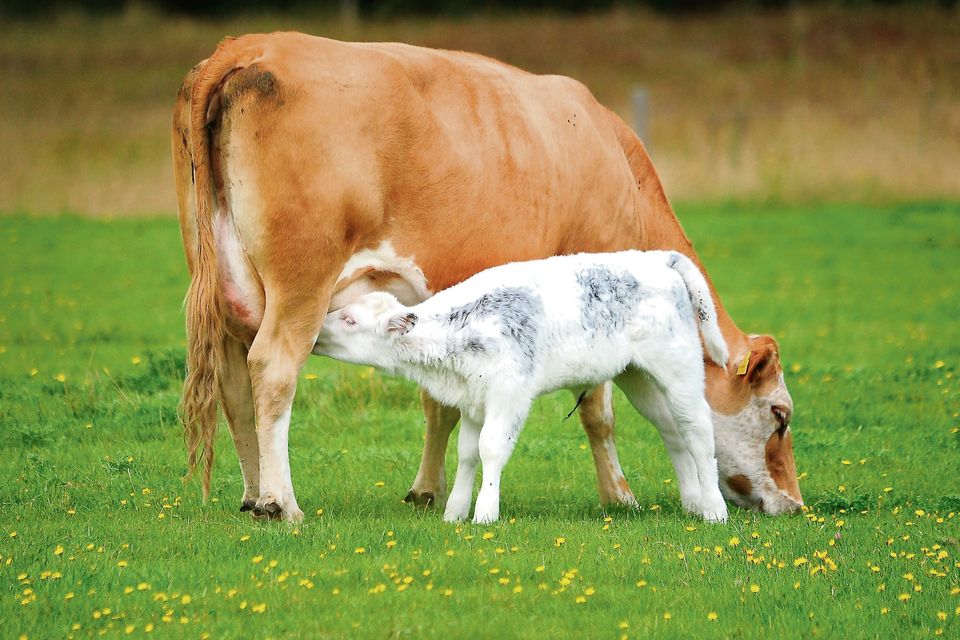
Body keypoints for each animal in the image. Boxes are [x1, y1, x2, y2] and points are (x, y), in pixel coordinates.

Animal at [314, 250, 731, 524]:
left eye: (349, 320)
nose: (317, 331)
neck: (461, 328)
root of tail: (656, 257)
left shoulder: (508, 393)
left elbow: (491, 448)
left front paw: (485, 513)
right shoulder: (472, 400)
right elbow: (467, 453)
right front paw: (454, 513)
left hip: (678, 369)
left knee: (697, 429)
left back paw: (714, 510)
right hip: (638, 377)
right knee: (672, 431)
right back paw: (693, 502)